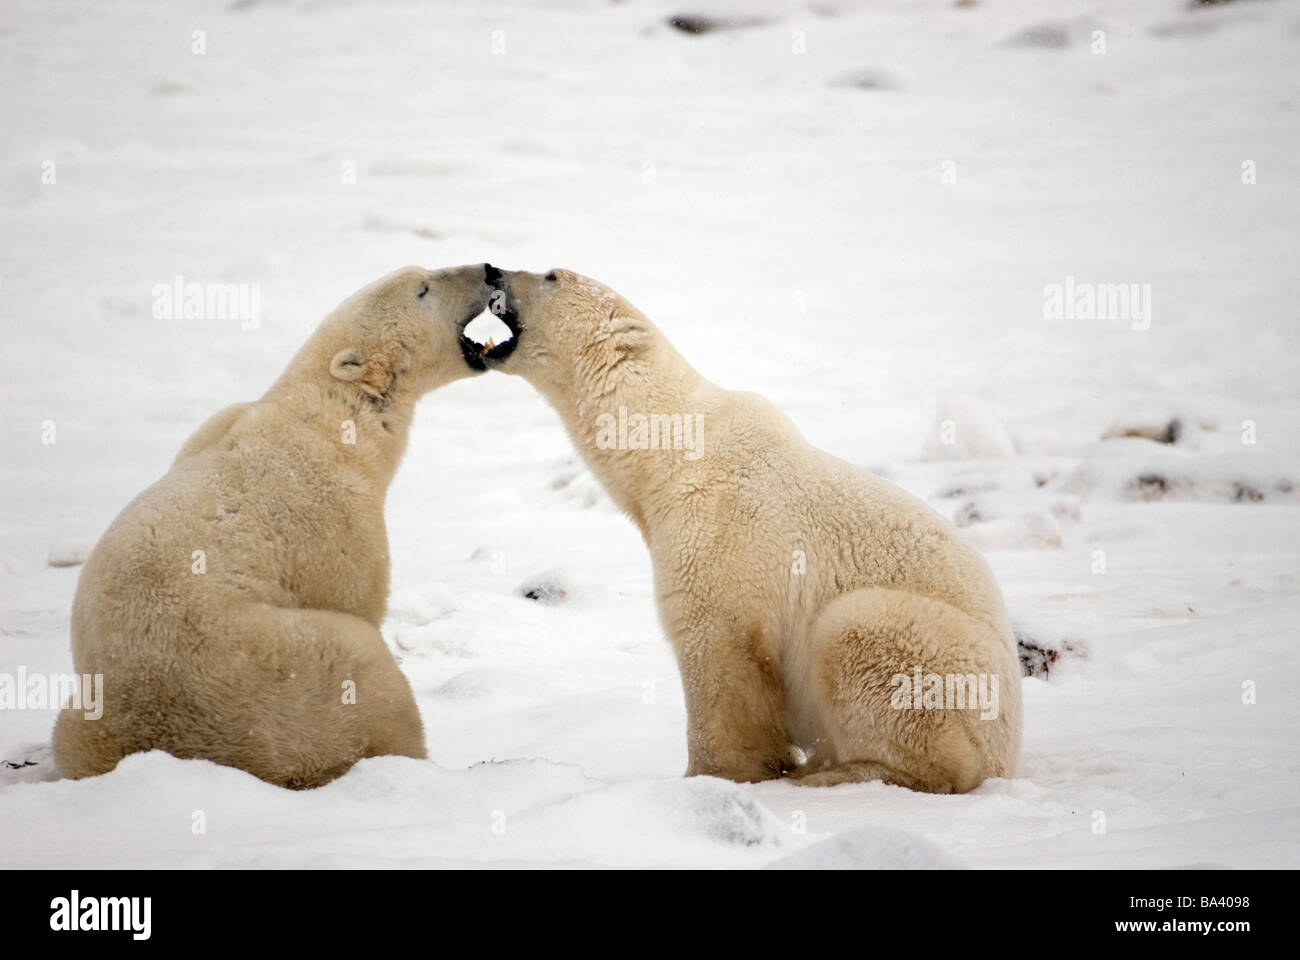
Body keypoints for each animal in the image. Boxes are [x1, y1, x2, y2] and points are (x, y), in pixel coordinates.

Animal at [53, 263, 500, 789]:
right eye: (424, 288)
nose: (489, 269)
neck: (331, 419)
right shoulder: (335, 515)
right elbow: (354, 595)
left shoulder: (213, 425)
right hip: (286, 680)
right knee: (370, 675)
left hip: (84, 714)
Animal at [475, 265, 1022, 792]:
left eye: (551, 275)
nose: (492, 271)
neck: (672, 448)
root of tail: (1009, 753)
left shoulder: (722, 529)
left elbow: (719, 653)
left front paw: (713, 774)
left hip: (948, 669)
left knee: (860, 635)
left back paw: (837, 774)